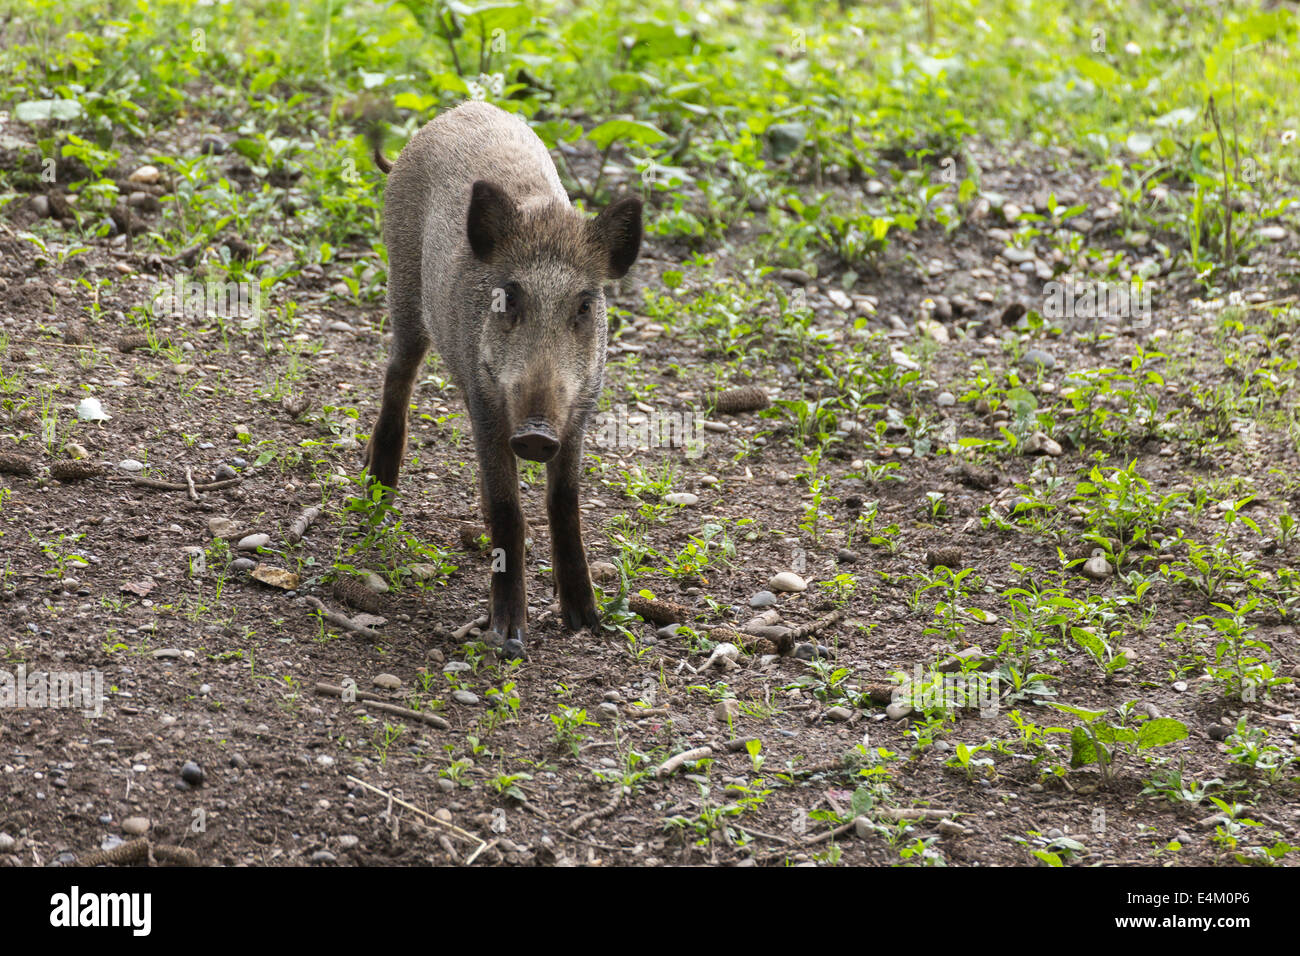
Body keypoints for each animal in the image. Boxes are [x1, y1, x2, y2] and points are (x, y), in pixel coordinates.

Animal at [363, 101, 642, 660]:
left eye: (585, 305)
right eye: (508, 297)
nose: (535, 434)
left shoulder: (580, 412)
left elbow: (565, 502)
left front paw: (587, 622)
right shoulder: (485, 405)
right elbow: (508, 509)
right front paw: (508, 639)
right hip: (403, 288)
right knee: (397, 377)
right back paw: (376, 492)